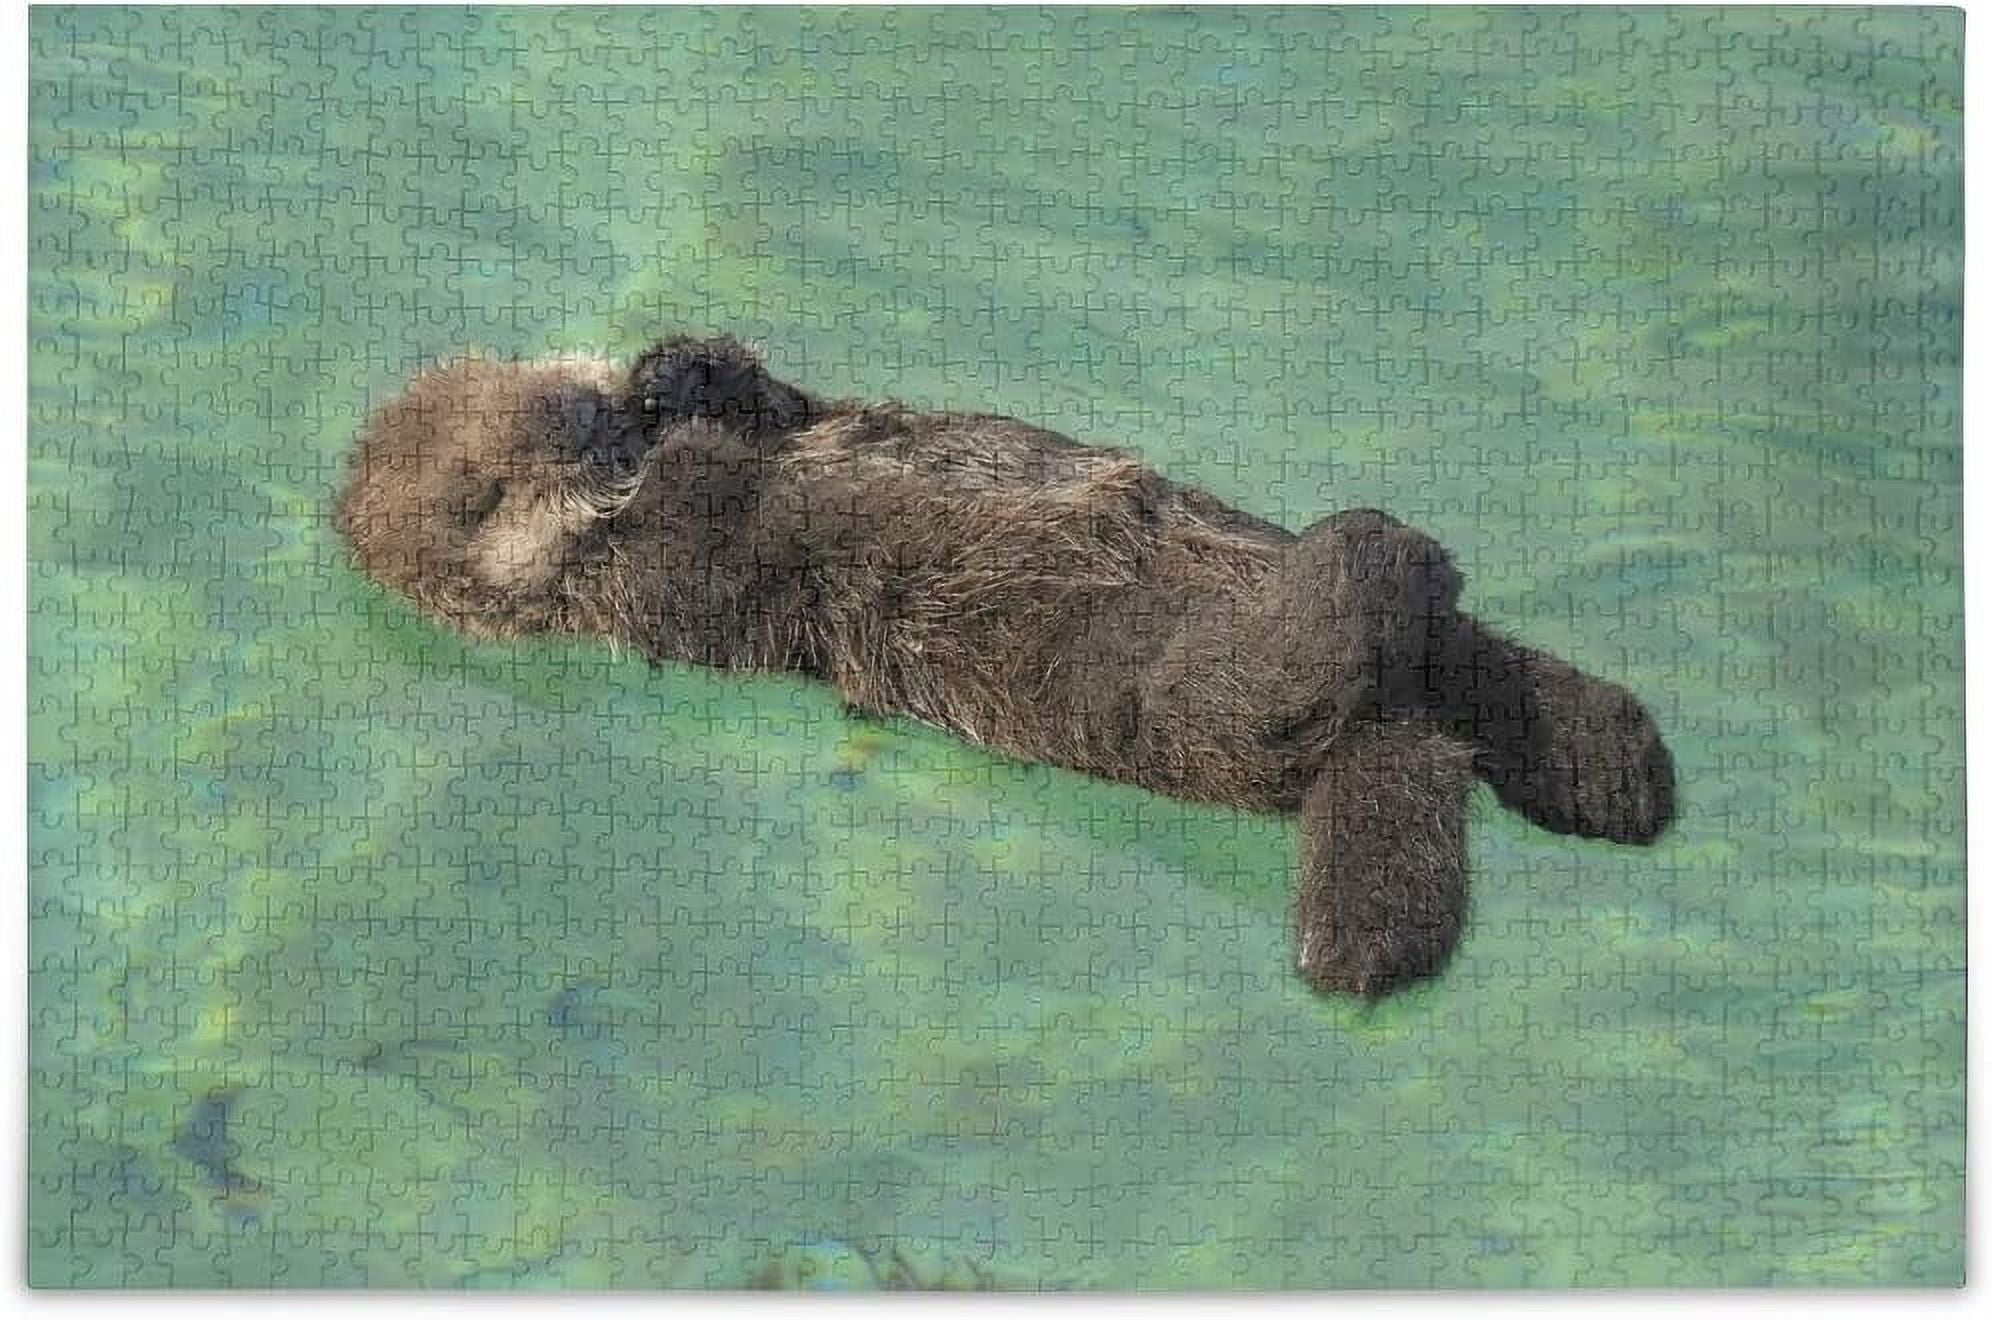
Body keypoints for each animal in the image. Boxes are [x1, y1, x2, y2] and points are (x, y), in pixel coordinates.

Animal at [334, 336, 1675, 997]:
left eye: (574, 394)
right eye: (527, 451)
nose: (613, 408)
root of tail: (1396, 730)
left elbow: (789, 407)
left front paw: (696, 370)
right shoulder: (657, 585)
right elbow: (723, 527)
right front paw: (694, 440)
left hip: (1366, 641)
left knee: (1478, 673)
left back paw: (1615, 759)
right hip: (1184, 691)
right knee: (1308, 680)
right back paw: (1386, 553)